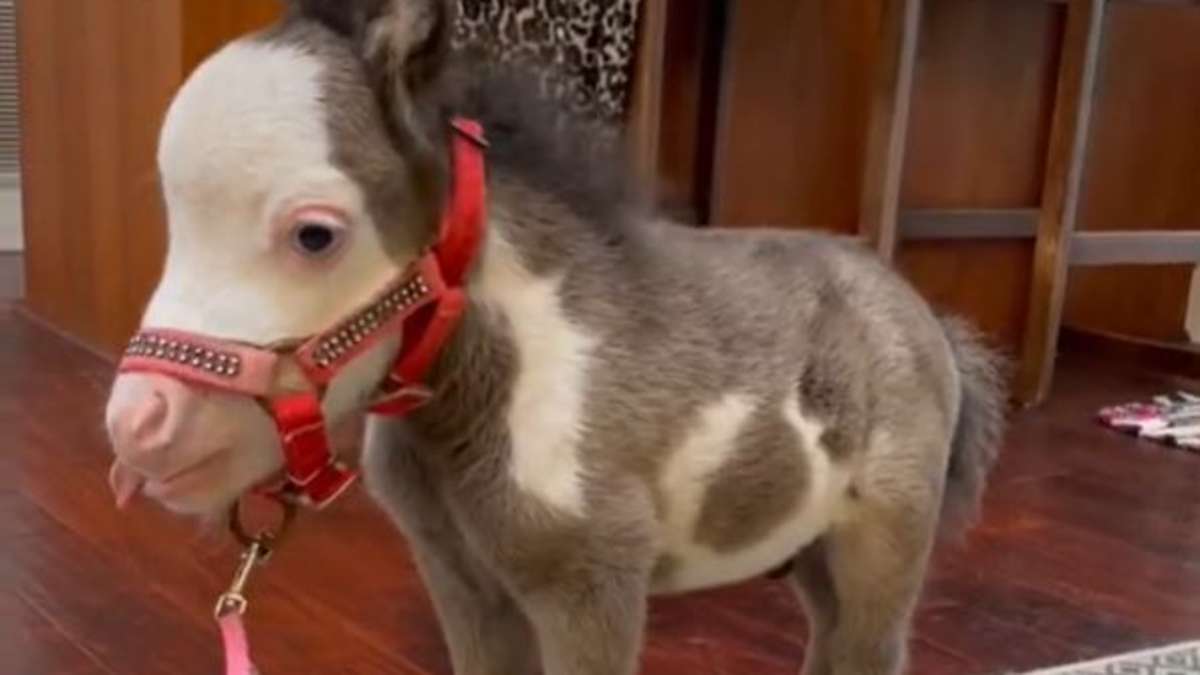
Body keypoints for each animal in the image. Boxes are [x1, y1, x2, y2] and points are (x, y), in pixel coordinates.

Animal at [104, 1, 1007, 673]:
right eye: (171, 220)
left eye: (315, 234)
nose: (140, 425)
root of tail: (930, 321)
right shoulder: (461, 577)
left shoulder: (592, 583)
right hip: (817, 554)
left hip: (881, 547)